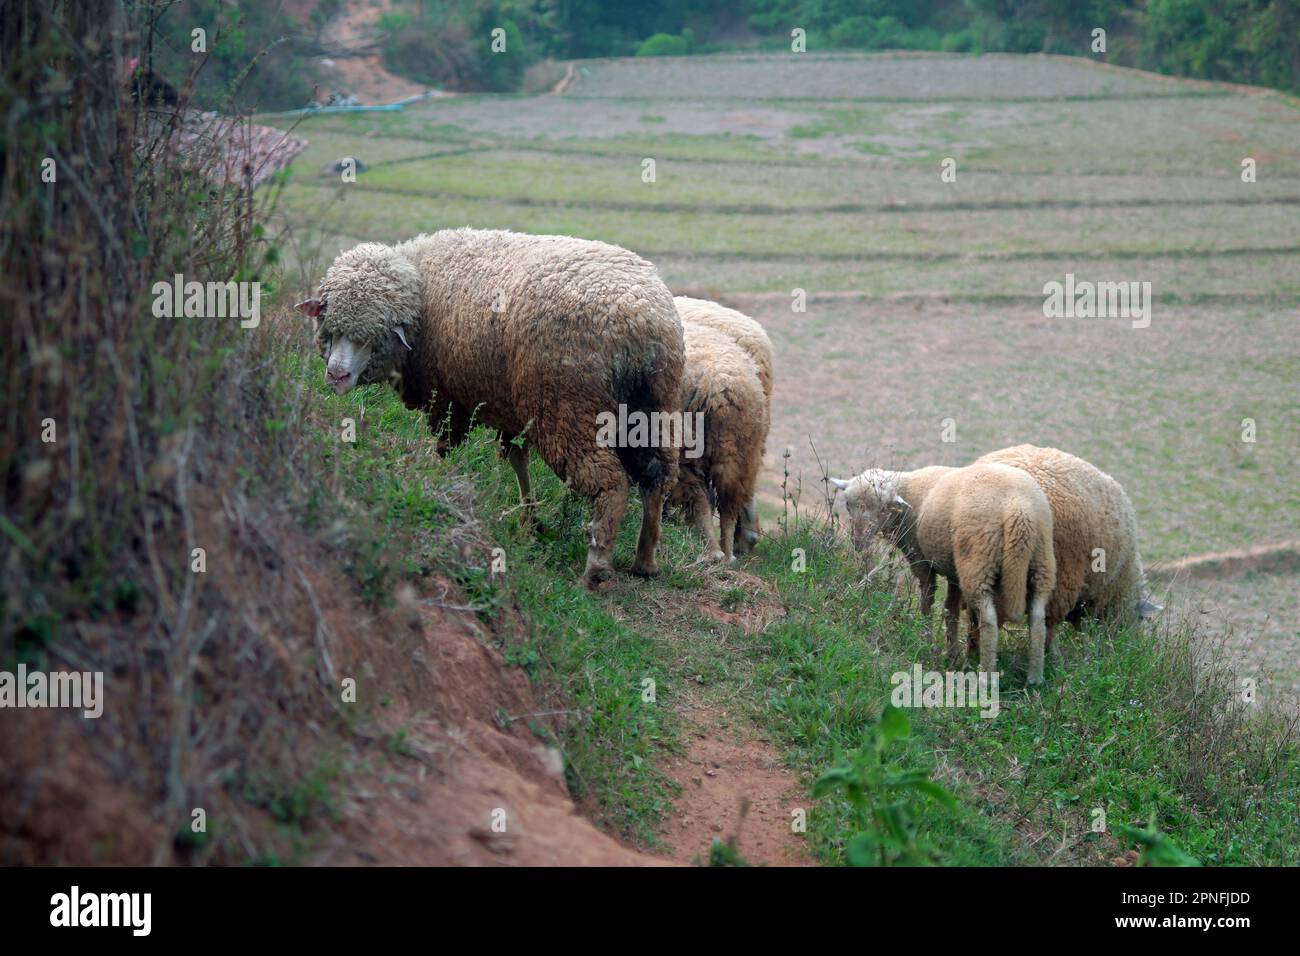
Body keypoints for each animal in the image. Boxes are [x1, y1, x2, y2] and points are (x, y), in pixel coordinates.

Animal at [295, 228, 686, 589]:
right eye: (331, 324)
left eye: (372, 338)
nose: (336, 375)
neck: (421, 281)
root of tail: (643, 321)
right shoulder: (507, 406)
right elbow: (517, 460)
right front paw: (529, 520)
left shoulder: (448, 400)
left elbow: (445, 447)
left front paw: (436, 480)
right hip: (652, 409)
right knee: (657, 475)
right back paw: (645, 560)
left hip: (568, 408)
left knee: (610, 483)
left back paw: (597, 568)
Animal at [831, 463, 1057, 684]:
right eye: (848, 504)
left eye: (883, 508)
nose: (858, 542)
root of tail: (1018, 509)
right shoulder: (953, 571)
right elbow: (951, 609)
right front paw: (951, 653)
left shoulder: (921, 560)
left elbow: (927, 602)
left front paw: (927, 641)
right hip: (1041, 560)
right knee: (1038, 618)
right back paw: (1034, 678)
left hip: (978, 560)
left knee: (989, 619)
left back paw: (985, 674)